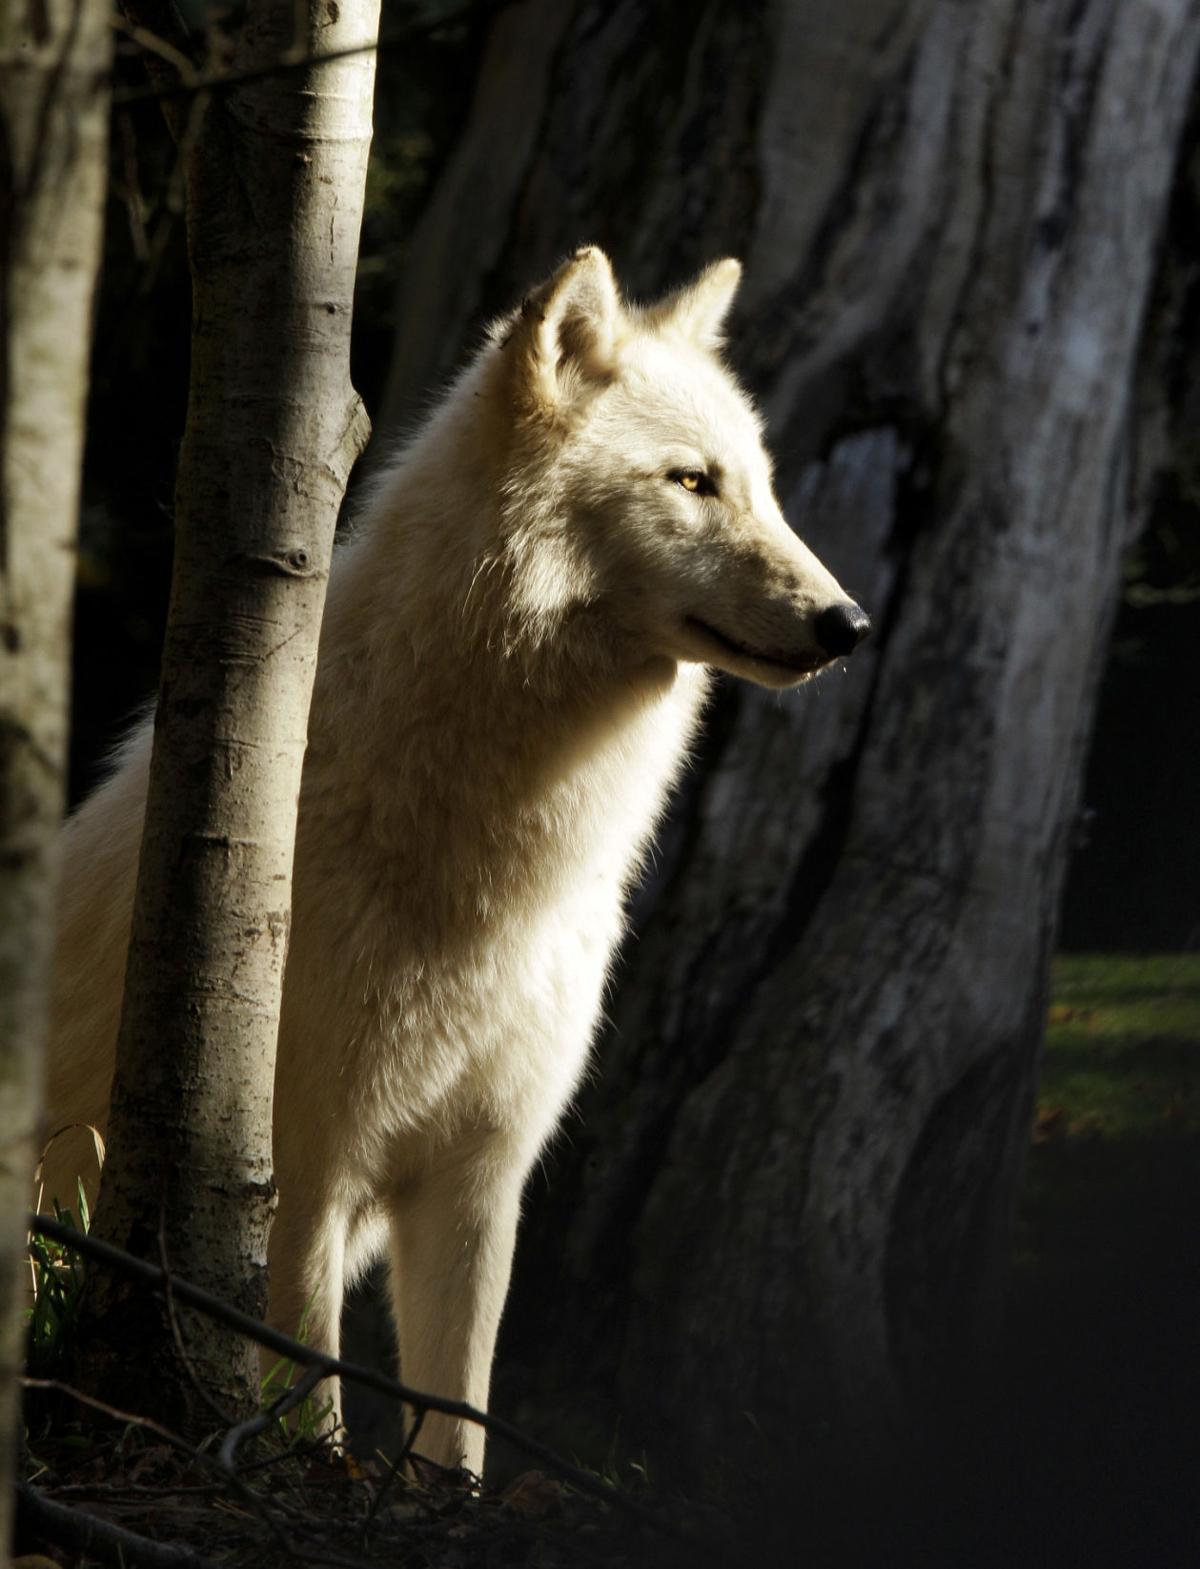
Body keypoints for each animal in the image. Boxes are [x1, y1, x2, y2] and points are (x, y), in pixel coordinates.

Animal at [45, 248, 869, 1475]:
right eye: (692, 482)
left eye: (763, 487)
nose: (848, 623)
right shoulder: (302, 1178)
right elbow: (311, 1392)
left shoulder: (480, 1182)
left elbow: (460, 1419)